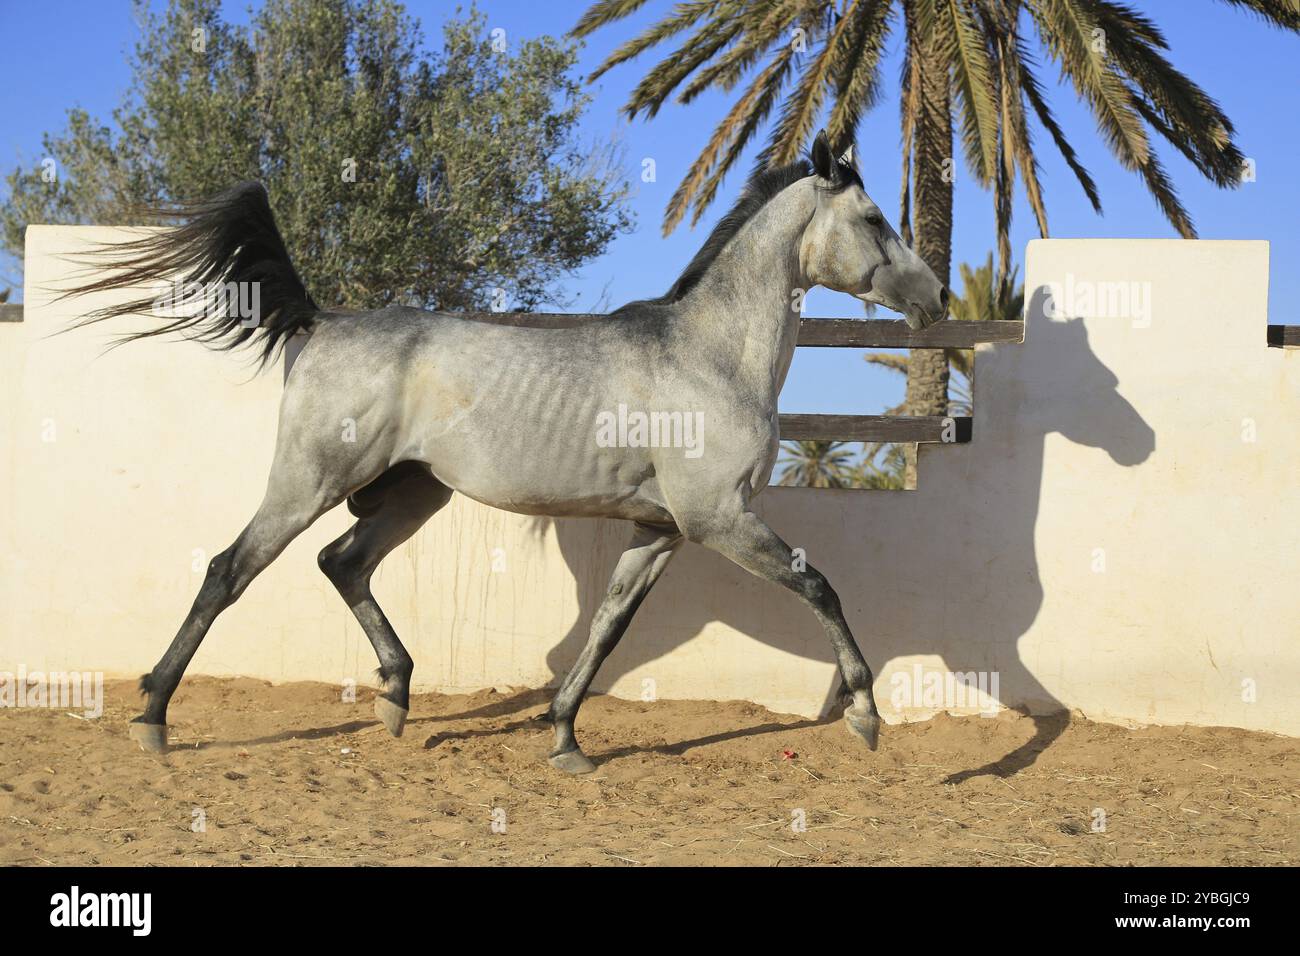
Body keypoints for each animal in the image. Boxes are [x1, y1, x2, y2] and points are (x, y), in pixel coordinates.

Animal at [61, 129, 948, 773]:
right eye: (875, 219)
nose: (935, 297)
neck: (708, 356)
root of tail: (322, 321)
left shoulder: (660, 532)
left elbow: (606, 633)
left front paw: (565, 741)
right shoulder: (719, 521)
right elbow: (821, 587)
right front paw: (866, 716)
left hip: (414, 493)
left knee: (342, 563)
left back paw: (395, 700)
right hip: (308, 483)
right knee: (229, 570)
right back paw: (152, 717)